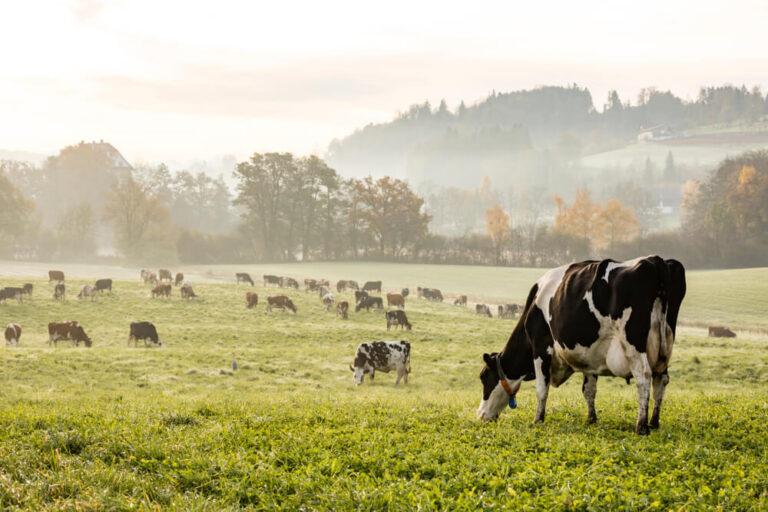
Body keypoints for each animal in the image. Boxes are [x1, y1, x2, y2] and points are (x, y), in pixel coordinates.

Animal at [477, 256, 686, 436]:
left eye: (483, 377)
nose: (480, 415)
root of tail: (655, 260)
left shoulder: (541, 347)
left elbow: (541, 389)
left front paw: (538, 419)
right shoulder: (590, 356)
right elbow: (589, 390)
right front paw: (591, 419)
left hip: (633, 343)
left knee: (643, 376)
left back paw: (641, 426)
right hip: (665, 346)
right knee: (661, 380)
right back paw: (654, 422)